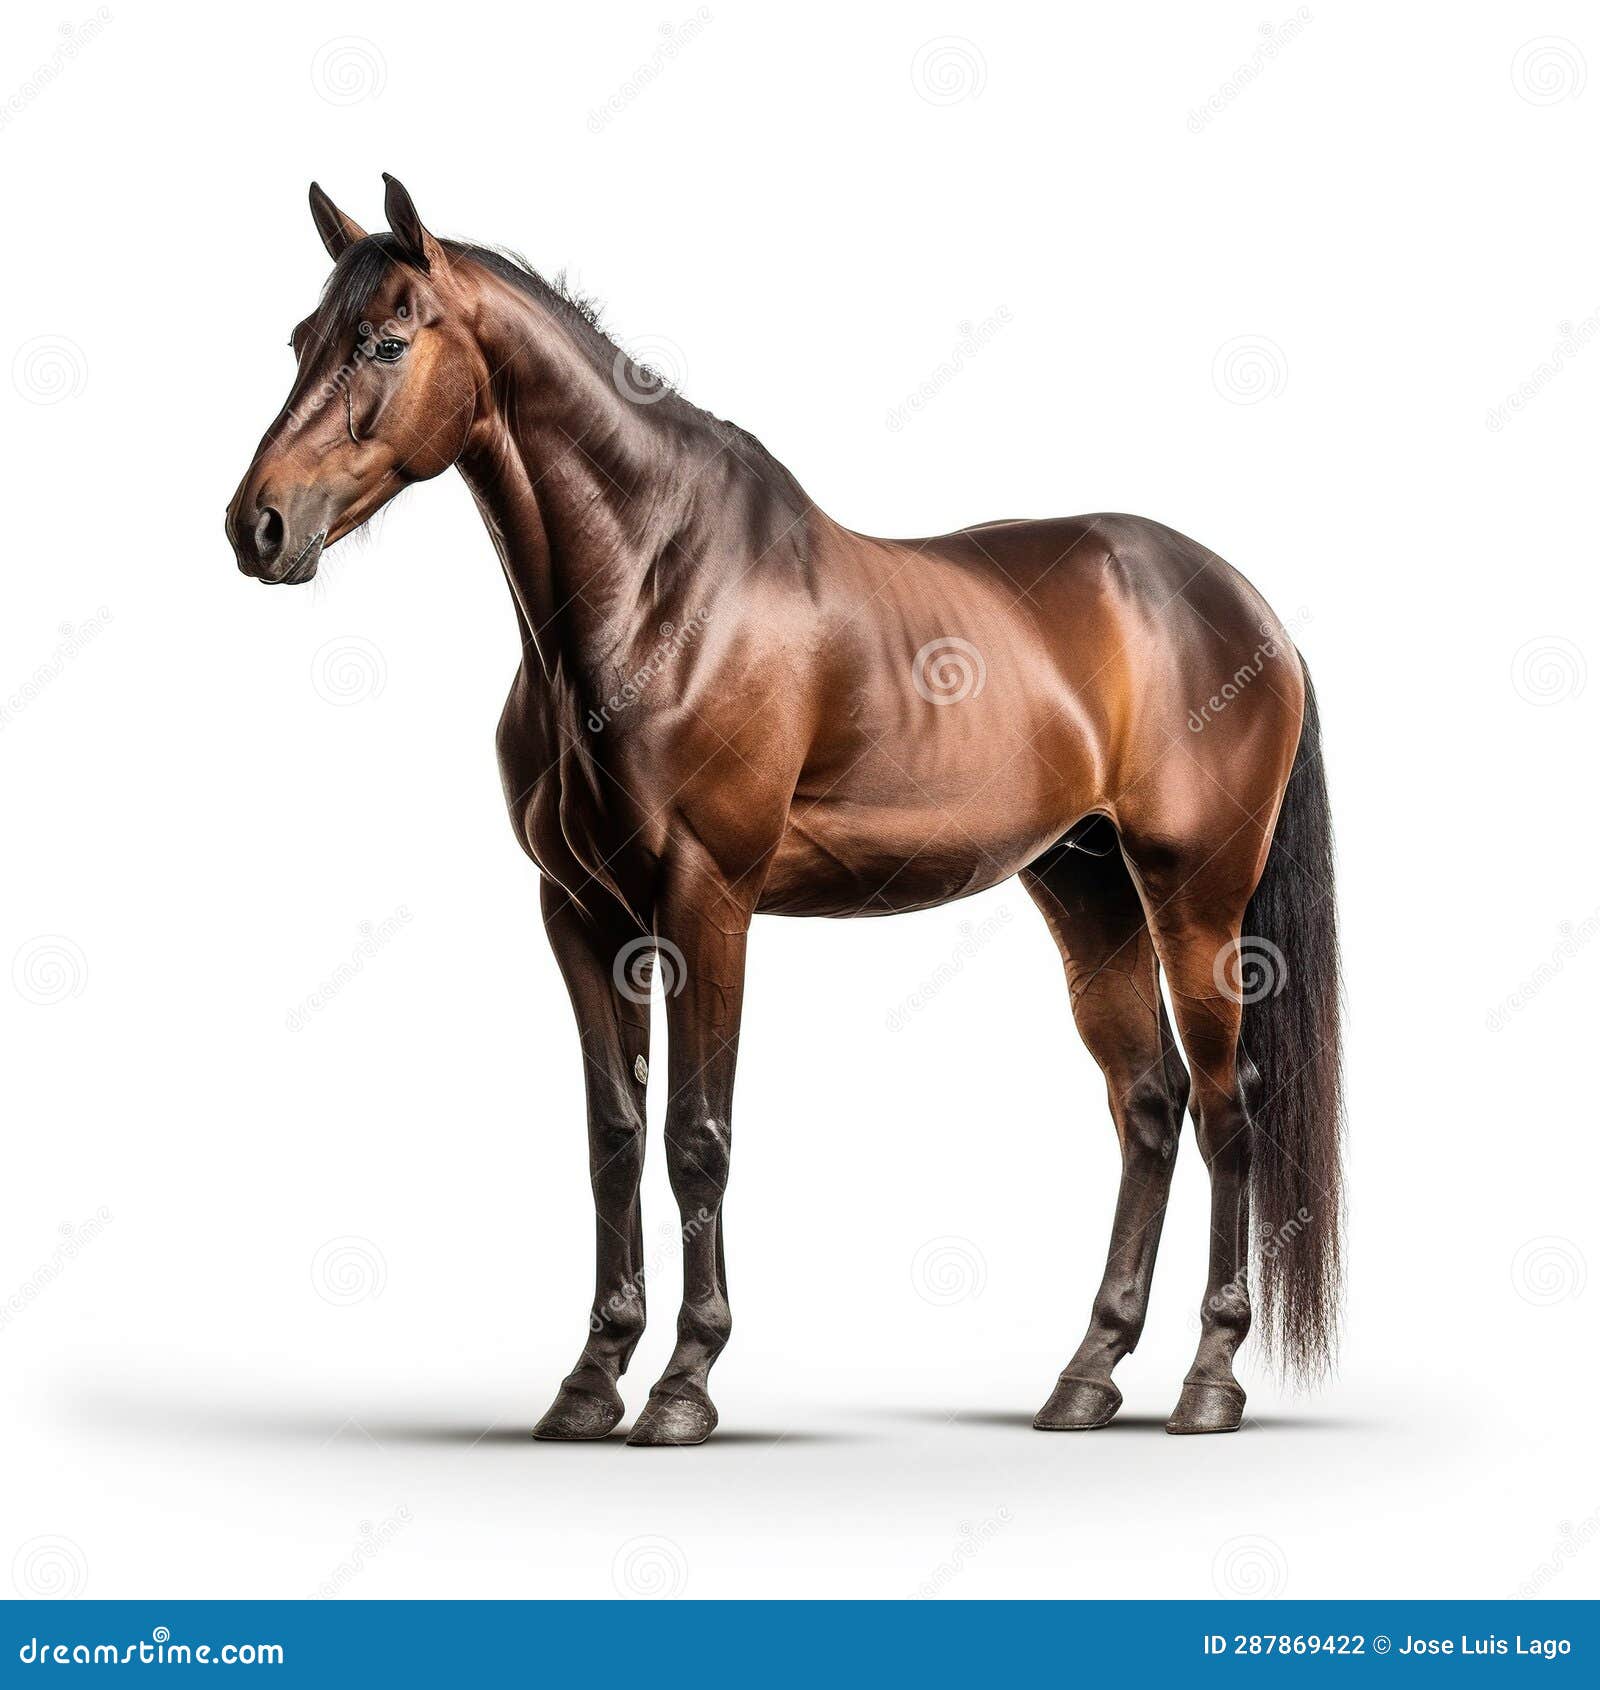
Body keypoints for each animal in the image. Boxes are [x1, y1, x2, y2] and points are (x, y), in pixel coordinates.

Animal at [226, 176, 1342, 1444]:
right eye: (300, 341)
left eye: (384, 340)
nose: (258, 526)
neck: (654, 593)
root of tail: (1246, 609)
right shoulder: (580, 914)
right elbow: (614, 1138)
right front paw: (588, 1383)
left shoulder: (706, 900)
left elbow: (695, 1139)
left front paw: (681, 1385)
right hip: (1084, 886)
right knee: (1148, 1106)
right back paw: (1085, 1377)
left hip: (1192, 898)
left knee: (1225, 1111)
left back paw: (1208, 1382)